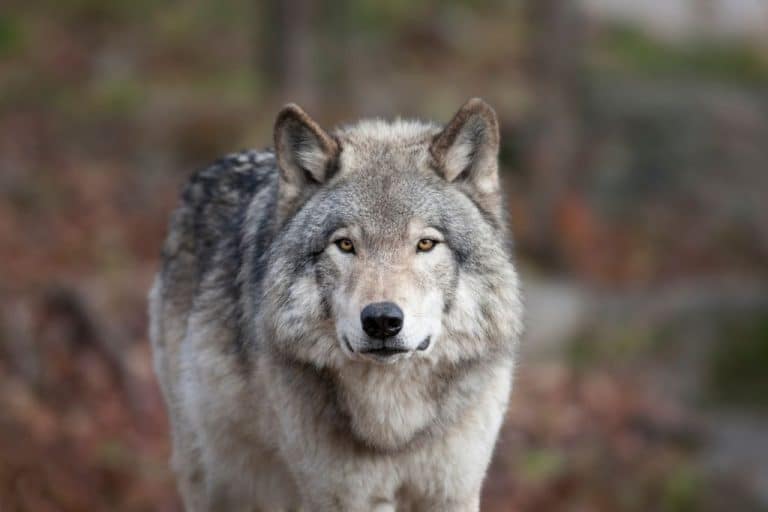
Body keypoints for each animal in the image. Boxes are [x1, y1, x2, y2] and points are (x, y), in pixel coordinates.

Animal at [149, 98, 523, 511]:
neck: (392, 426)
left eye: (425, 243)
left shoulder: (452, 492)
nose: (381, 320)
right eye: (345, 244)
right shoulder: (341, 497)